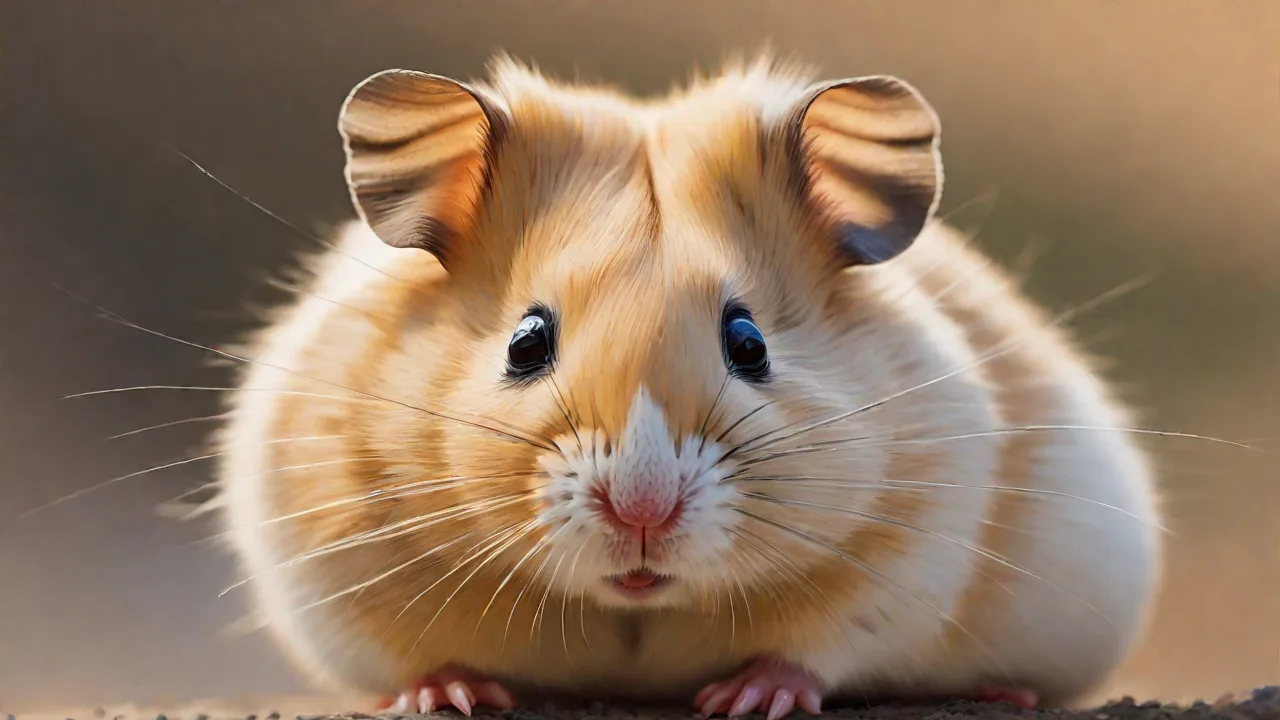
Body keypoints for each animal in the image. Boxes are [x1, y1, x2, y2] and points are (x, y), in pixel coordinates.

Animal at [213, 54, 1162, 720]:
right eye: (526, 342)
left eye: (749, 344)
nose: (641, 511)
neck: (635, 609)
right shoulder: (327, 538)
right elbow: (409, 654)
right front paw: (443, 694)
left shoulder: (915, 541)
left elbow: (820, 645)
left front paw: (745, 698)